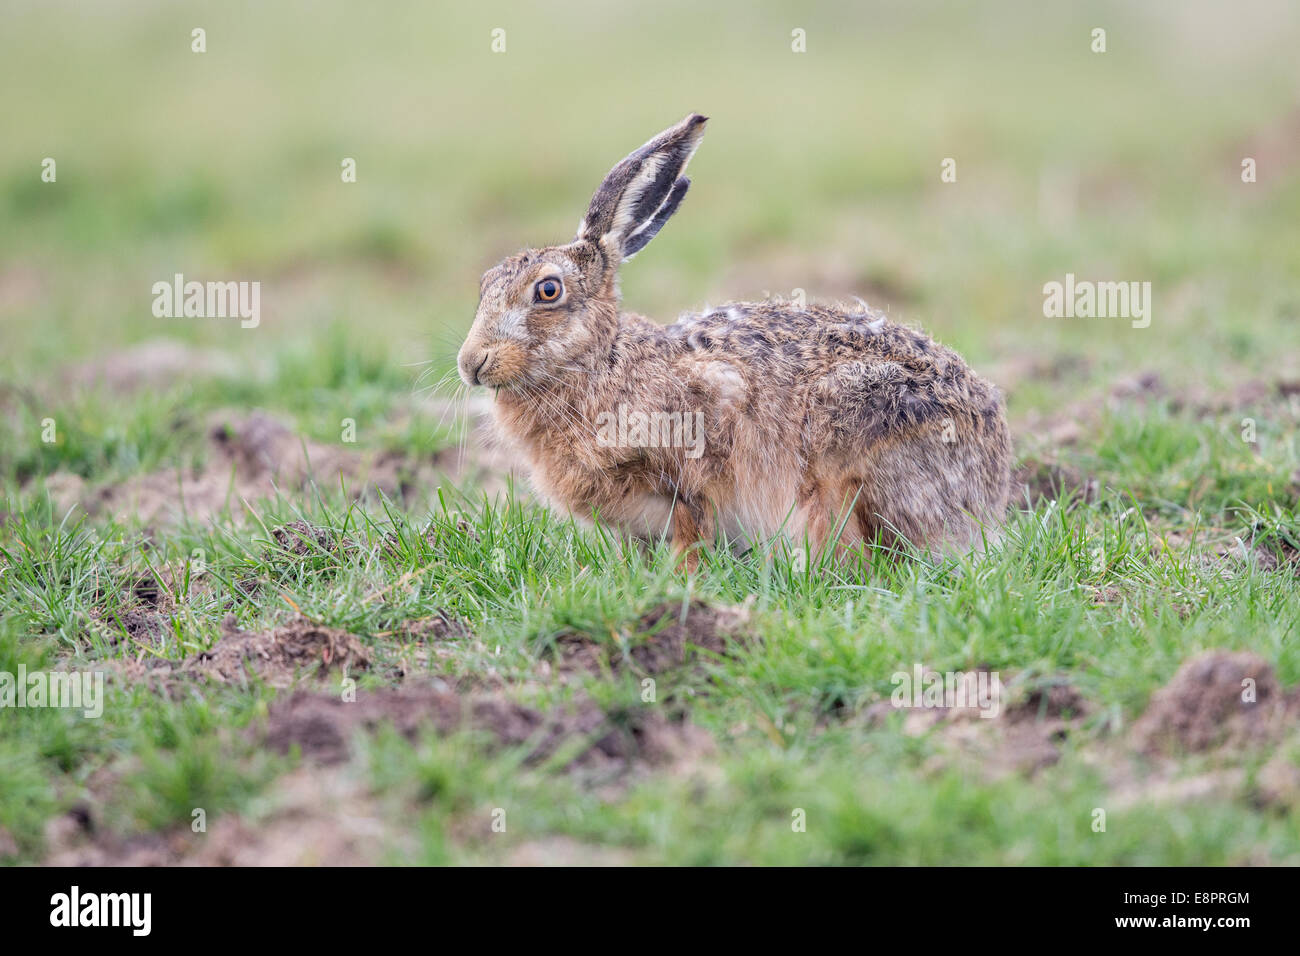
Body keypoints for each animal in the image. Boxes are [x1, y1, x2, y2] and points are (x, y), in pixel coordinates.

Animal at [457, 113, 1012, 571]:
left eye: (548, 290)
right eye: (483, 283)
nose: (472, 363)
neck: (599, 363)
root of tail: (989, 487)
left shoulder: (694, 461)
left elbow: (692, 531)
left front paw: (682, 582)